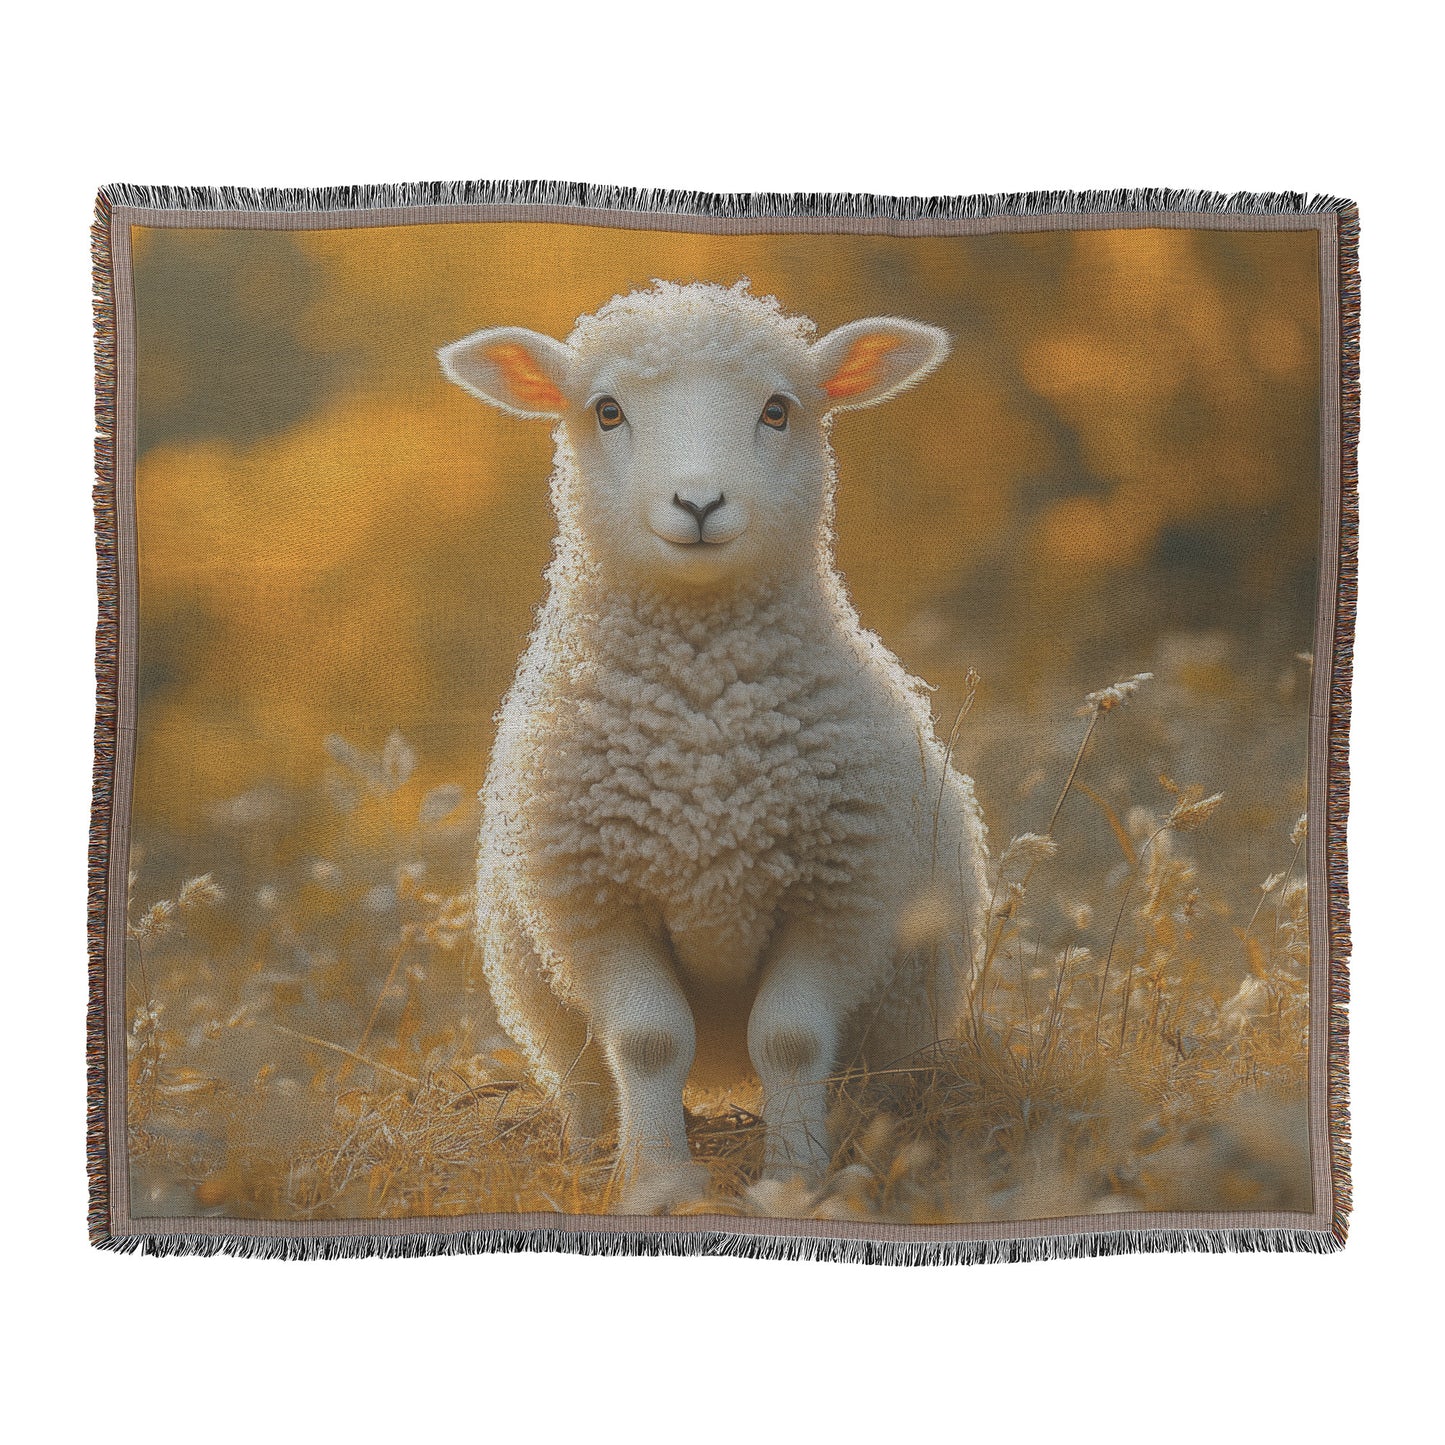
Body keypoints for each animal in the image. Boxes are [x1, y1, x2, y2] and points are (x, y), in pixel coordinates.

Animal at [440, 280, 989, 1211]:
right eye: (607, 410)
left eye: (777, 408)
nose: (698, 504)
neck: (700, 734)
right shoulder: (593, 903)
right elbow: (649, 1042)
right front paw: (658, 1182)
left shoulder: (839, 896)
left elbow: (792, 1040)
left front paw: (793, 1179)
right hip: (545, 1011)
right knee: (591, 1083)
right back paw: (595, 1152)